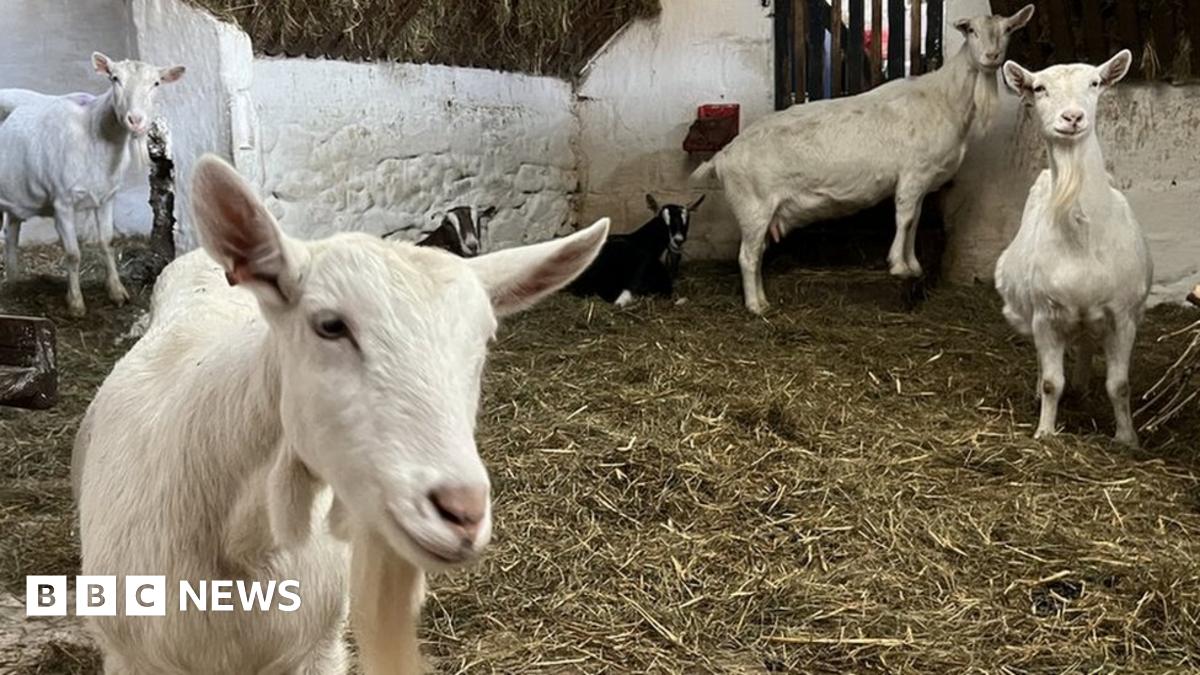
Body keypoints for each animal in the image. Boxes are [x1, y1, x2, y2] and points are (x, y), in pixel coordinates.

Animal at [0, 52, 185, 316]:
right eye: (115, 78)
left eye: (156, 83)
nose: (136, 120)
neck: (93, 131)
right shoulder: (62, 202)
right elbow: (73, 254)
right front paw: (76, 303)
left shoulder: (107, 196)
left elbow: (107, 243)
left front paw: (117, 292)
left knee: (11, 231)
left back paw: (14, 281)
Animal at [71, 154, 610, 673]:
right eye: (330, 326)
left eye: (485, 339)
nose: (462, 512)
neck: (242, 547)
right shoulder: (129, 657)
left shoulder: (319, 649)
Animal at [690, 6, 1034, 314]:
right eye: (971, 30)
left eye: (1007, 30)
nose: (992, 56)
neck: (945, 99)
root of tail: (722, 156)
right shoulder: (913, 173)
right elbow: (905, 219)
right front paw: (898, 266)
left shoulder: (921, 181)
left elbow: (915, 220)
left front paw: (913, 266)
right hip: (753, 206)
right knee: (747, 257)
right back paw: (755, 307)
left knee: (757, 254)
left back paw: (761, 300)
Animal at [996, 50, 1151, 448]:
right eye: (1039, 88)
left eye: (1095, 83)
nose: (1072, 118)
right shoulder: (1045, 315)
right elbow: (1053, 382)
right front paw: (1045, 431)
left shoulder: (1122, 315)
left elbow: (1120, 384)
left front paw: (1127, 439)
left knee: (1083, 345)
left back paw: (1082, 386)